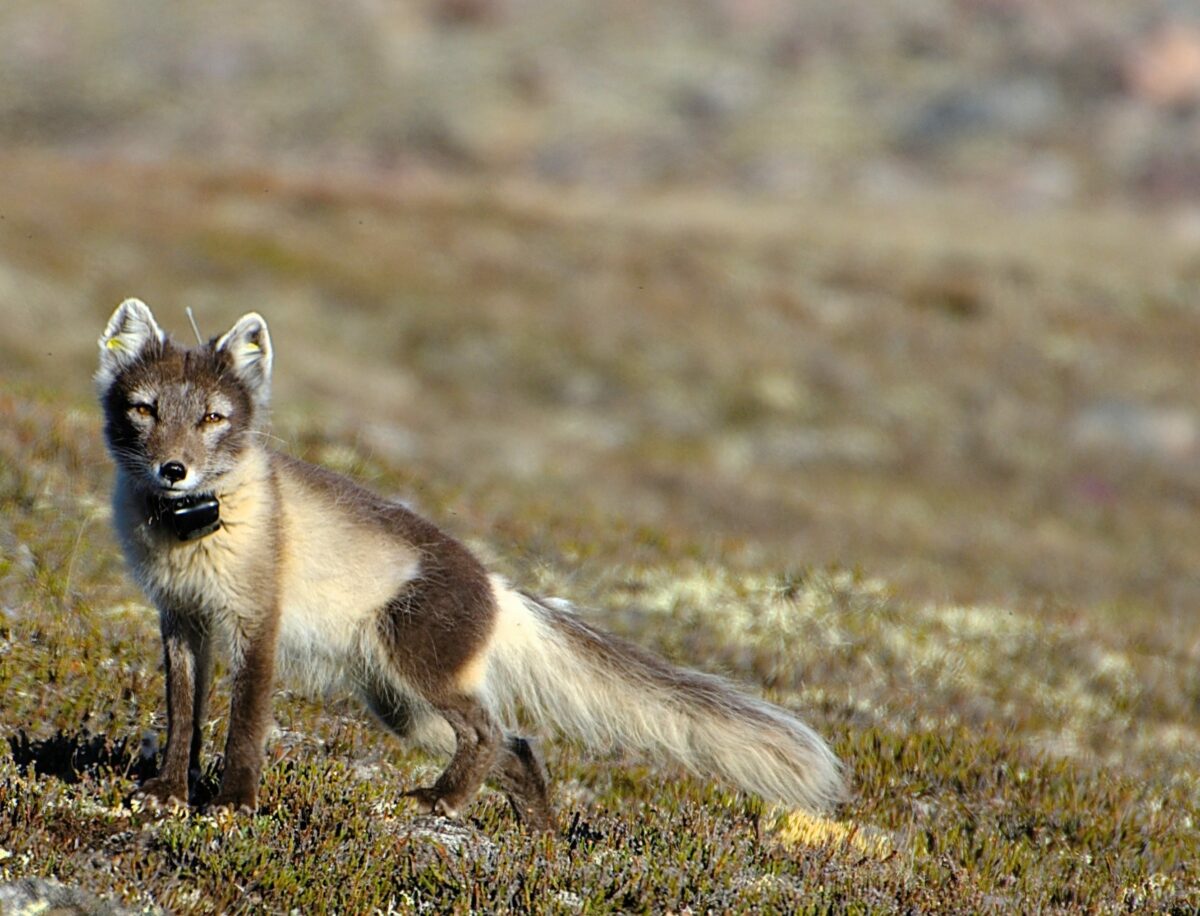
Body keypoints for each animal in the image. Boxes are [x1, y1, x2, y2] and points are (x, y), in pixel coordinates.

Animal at [96, 298, 845, 830]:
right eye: (145, 409)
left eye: (214, 418)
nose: (173, 469)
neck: (190, 532)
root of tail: (499, 586)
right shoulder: (181, 620)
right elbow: (184, 715)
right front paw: (167, 792)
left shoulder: (258, 622)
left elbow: (244, 725)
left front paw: (231, 803)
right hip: (401, 704)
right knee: (520, 746)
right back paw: (538, 832)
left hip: (417, 670)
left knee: (489, 734)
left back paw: (442, 803)